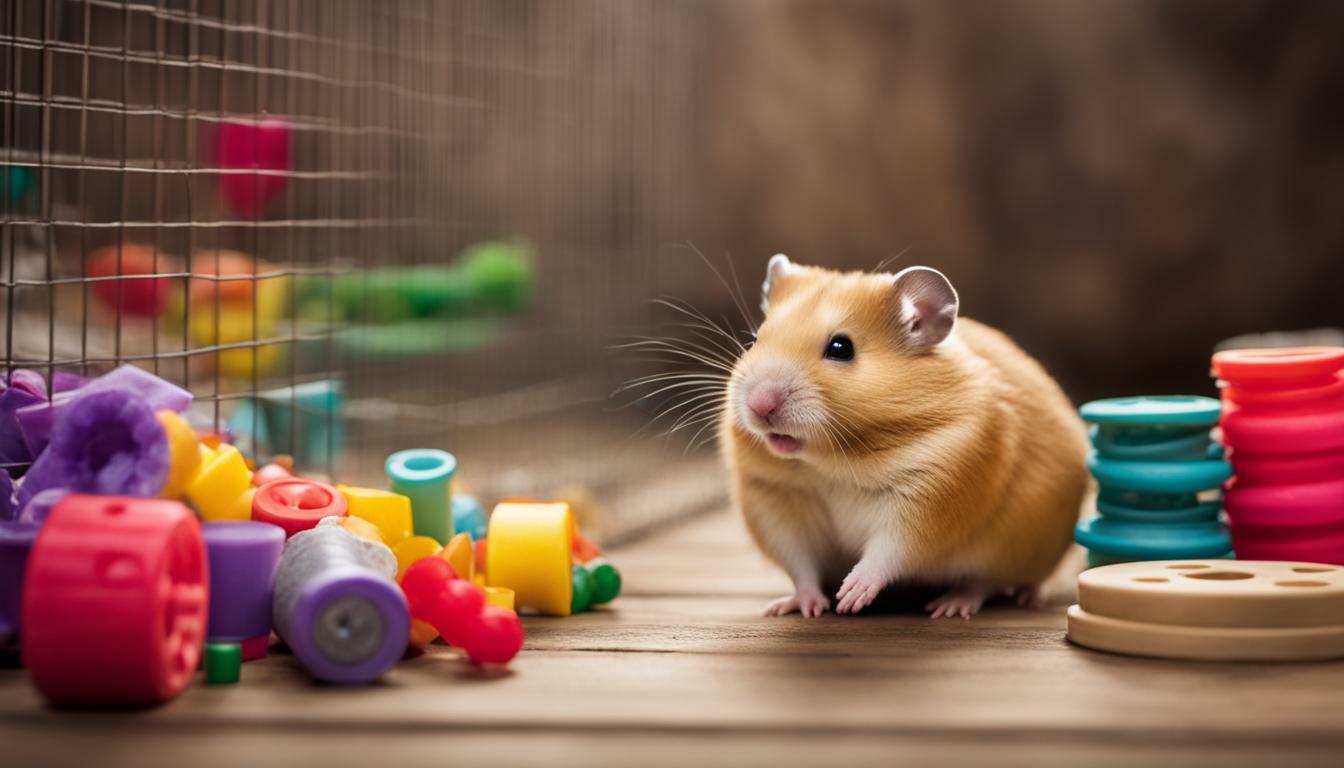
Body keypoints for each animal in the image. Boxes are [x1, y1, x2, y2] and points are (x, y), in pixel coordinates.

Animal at [719, 255, 1088, 618]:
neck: (831, 461)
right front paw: (804, 607)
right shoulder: (775, 500)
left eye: (841, 348)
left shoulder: (932, 496)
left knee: (986, 583)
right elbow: (801, 564)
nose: (759, 406)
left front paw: (851, 597)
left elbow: (889, 551)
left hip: (1010, 552)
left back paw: (960, 605)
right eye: (753, 341)